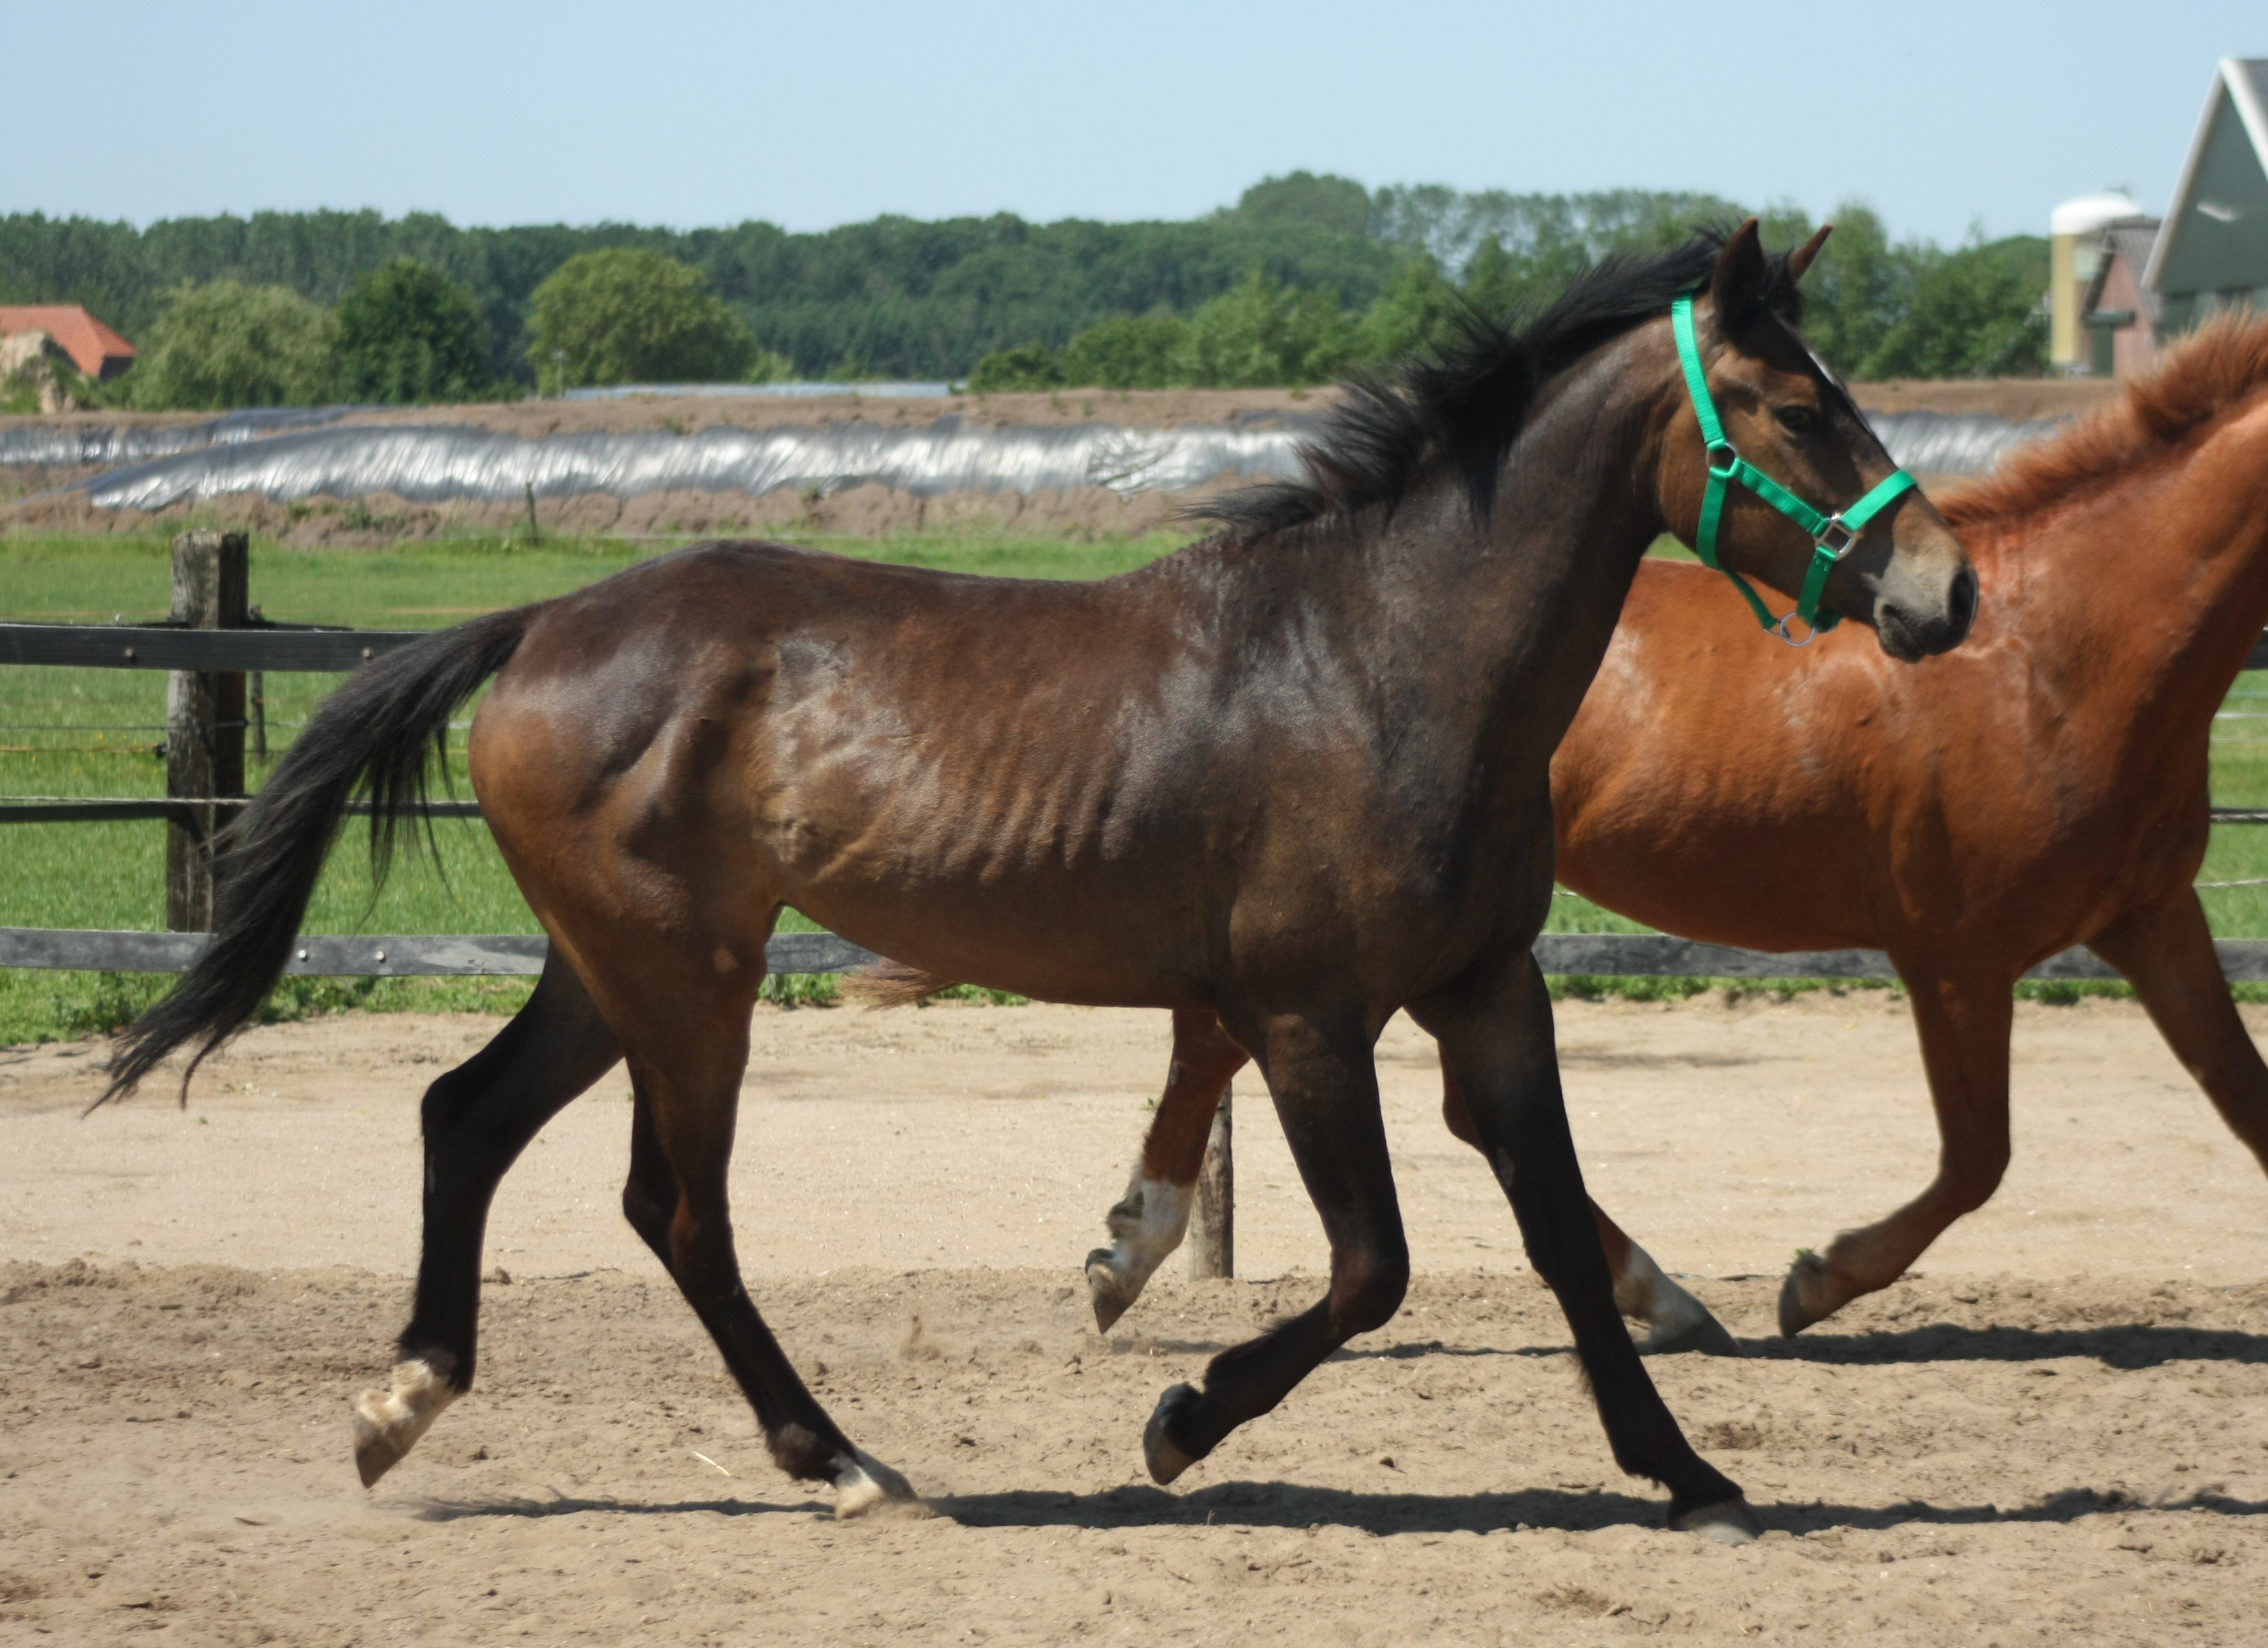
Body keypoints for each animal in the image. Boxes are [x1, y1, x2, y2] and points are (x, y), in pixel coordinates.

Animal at [100, 222, 1974, 1543]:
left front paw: (1690, 1471)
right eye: (1796, 406)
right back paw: (839, 1462)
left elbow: (1562, 1239)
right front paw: (1179, 1419)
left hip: (612, 970)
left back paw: (404, 1405)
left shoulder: (1484, 990)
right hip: (684, 981)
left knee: (468, 1121)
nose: (1941, 592)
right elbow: (1371, 1268)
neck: (1379, 660)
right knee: (676, 1208)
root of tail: (542, 621)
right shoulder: (1307, 1017)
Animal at [999, 312, 2268, 1352]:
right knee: (1272, 1055)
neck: (2052, 656)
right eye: (1800, 412)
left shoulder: (2151, 921)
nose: (1944, 601)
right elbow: (1977, 1159)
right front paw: (1815, 1282)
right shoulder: (1955, 957)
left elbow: (2240, 1100)